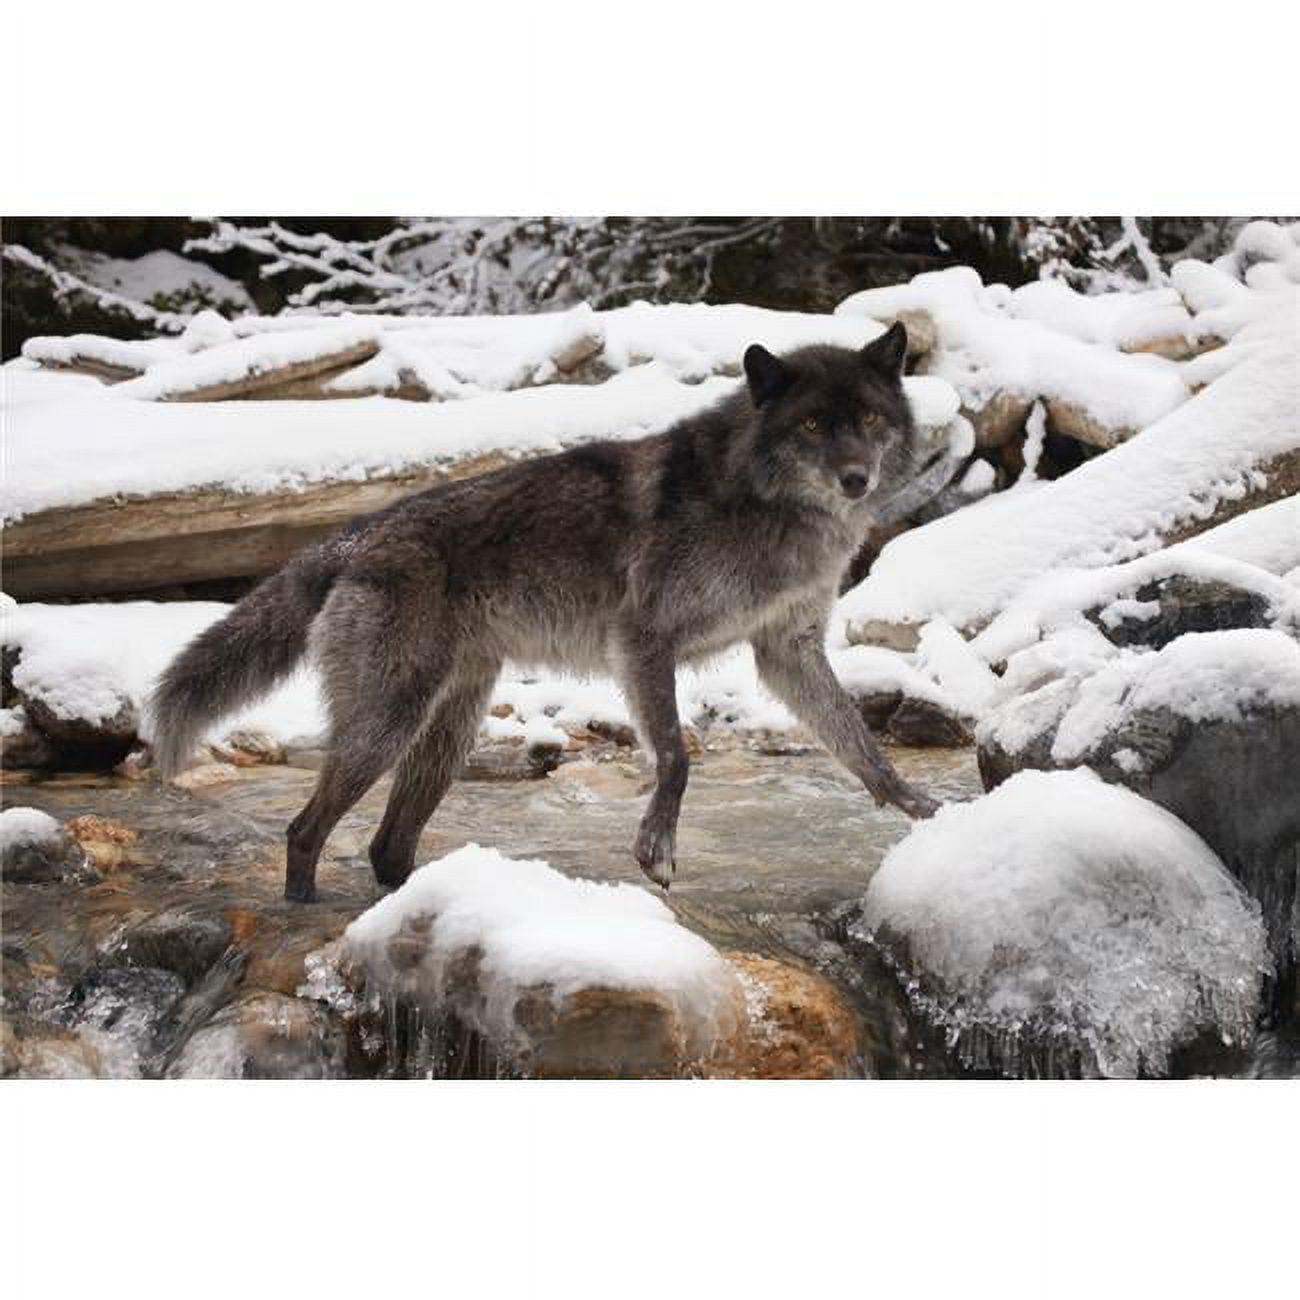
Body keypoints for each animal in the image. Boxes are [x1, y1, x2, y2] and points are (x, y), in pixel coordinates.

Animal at [151, 322, 946, 902]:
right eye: (810, 425)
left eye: (867, 418)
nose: (856, 478)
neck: (765, 504)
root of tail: (354, 536)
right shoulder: (643, 641)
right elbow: (677, 759)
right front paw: (656, 853)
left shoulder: (788, 649)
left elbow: (861, 747)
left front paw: (921, 810)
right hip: (386, 727)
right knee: (304, 830)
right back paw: (305, 910)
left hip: (446, 735)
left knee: (385, 847)